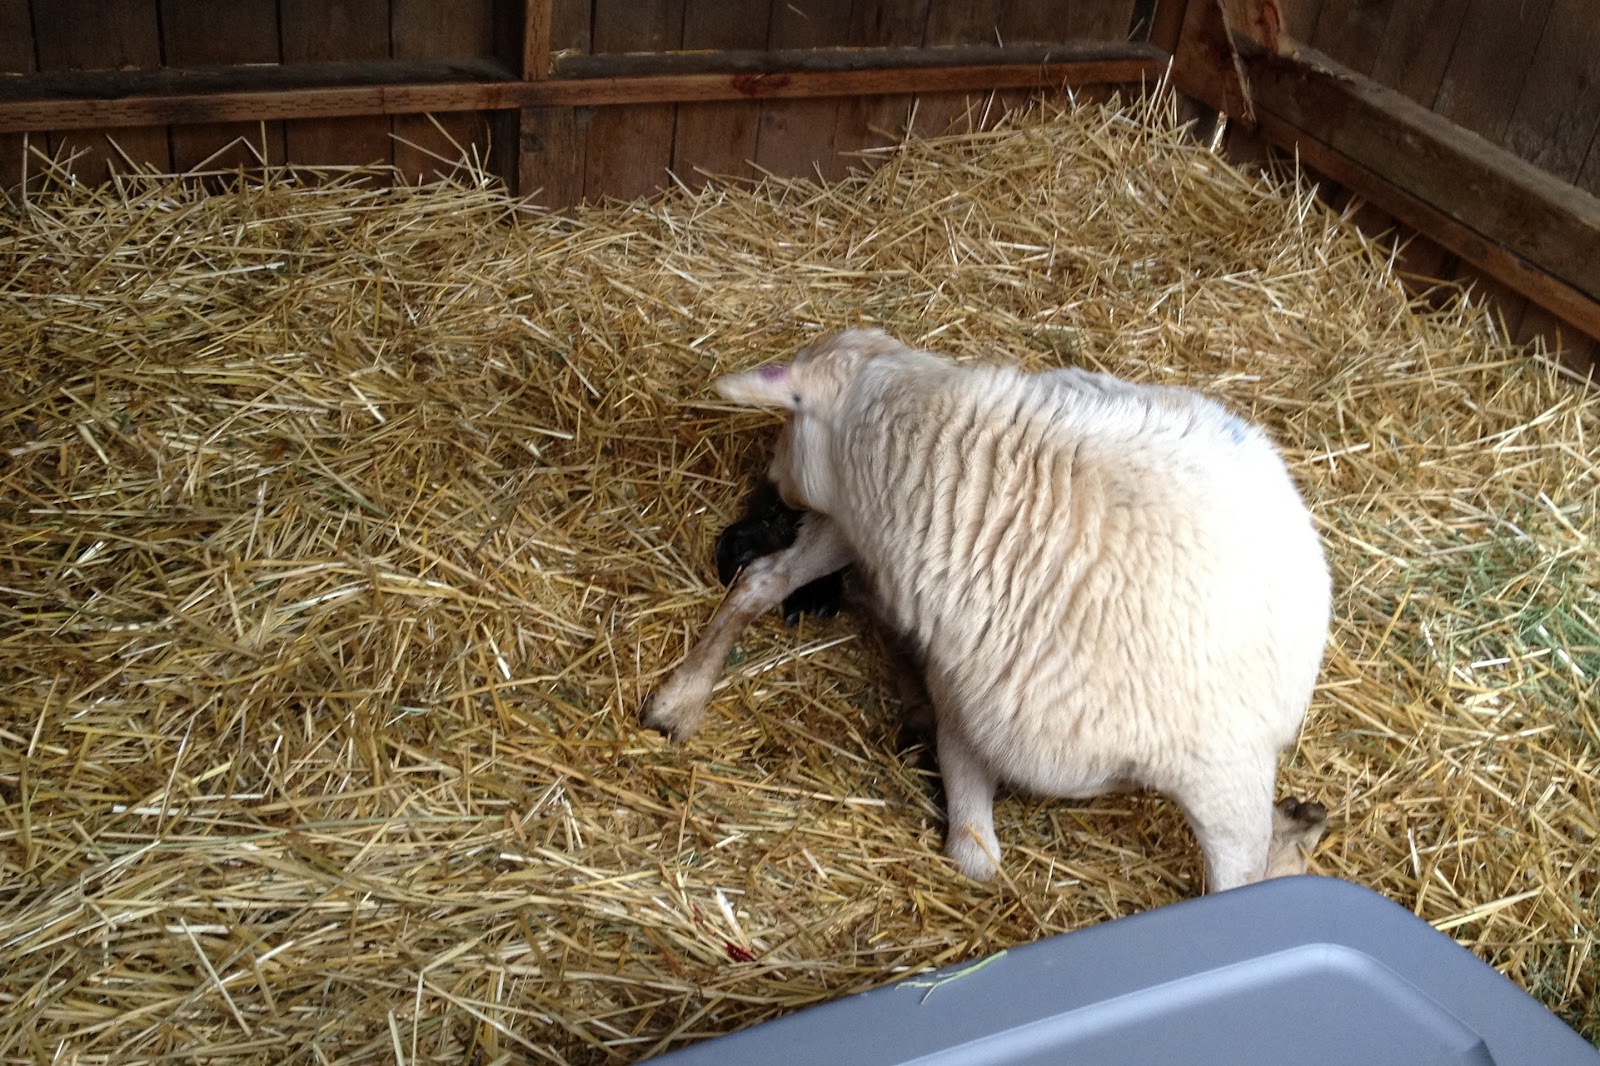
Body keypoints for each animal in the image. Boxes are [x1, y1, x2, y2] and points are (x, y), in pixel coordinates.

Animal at [645, 328, 1331, 893]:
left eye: (792, 415)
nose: (769, 479)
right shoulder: (970, 709)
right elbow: (977, 860)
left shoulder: (1225, 772)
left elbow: (1243, 887)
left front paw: (1288, 842)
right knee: (766, 582)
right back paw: (680, 700)